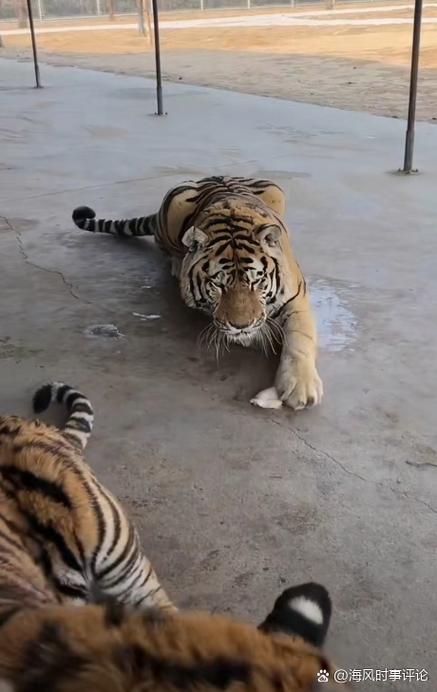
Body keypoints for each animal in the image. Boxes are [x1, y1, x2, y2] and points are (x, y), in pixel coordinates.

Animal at [72, 176, 322, 411]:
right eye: (218, 285)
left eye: (257, 281)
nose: (241, 326)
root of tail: (215, 176)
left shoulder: (297, 296)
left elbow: (301, 337)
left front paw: (300, 387)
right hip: (175, 205)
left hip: (275, 190)